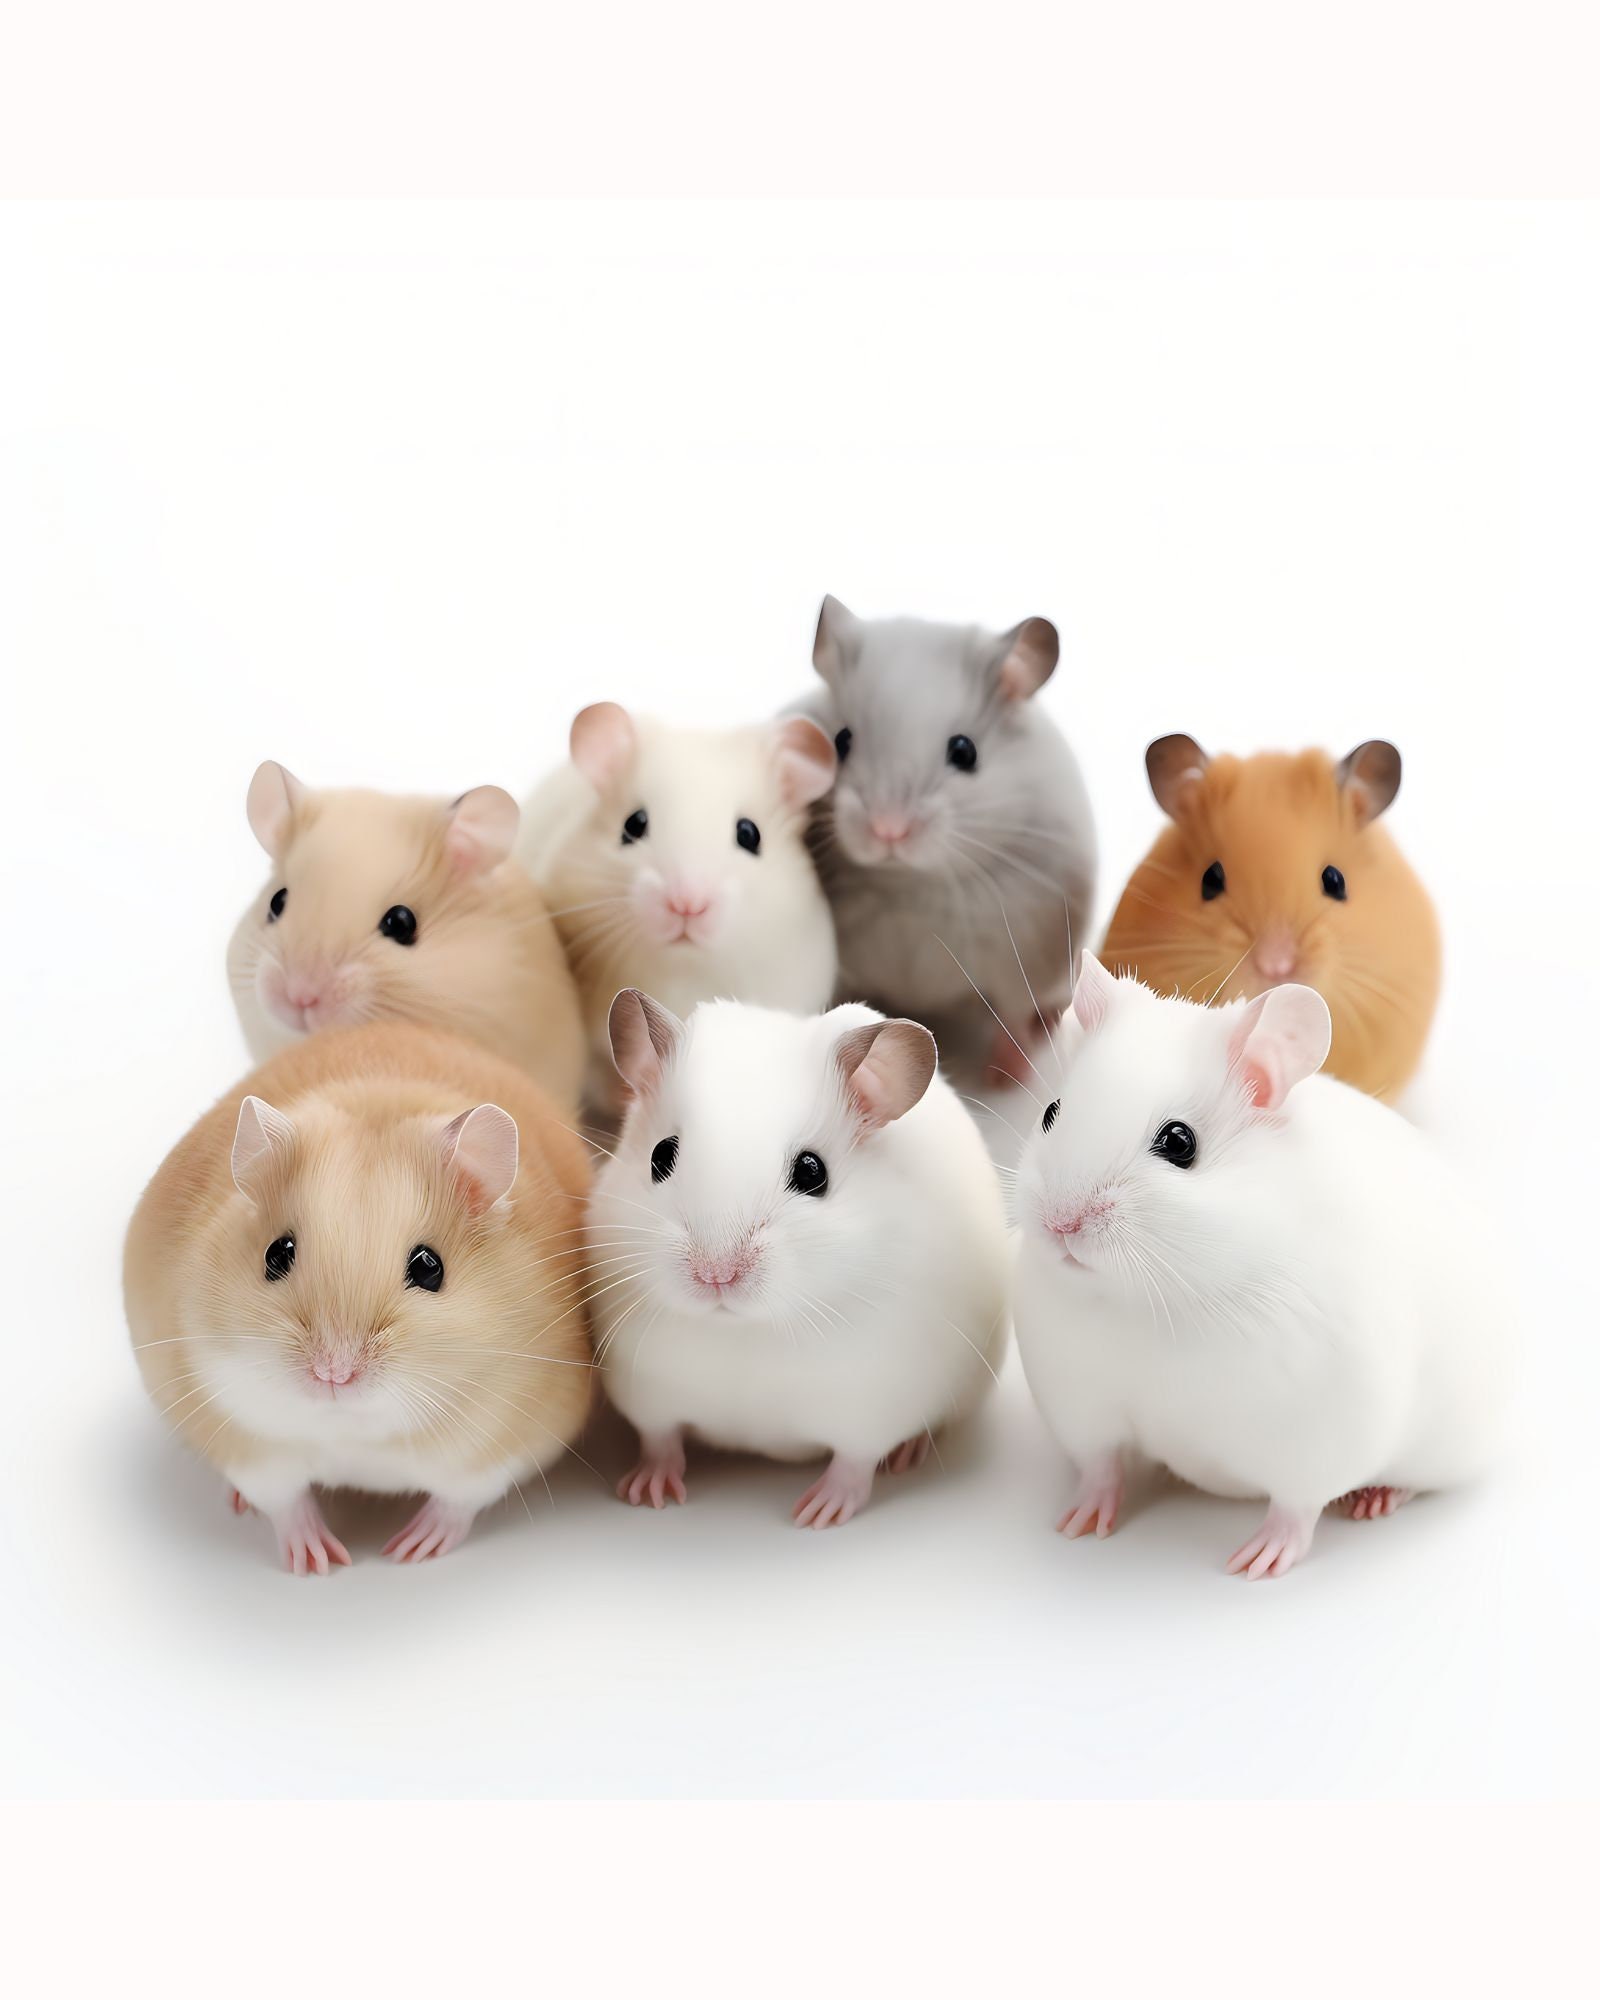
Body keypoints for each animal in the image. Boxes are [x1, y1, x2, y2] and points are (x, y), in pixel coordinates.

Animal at [125, 1022, 594, 1572]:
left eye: (429, 1267)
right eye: (276, 1254)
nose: (334, 1373)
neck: (355, 1429)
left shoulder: (507, 1443)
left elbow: (457, 1503)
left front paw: (409, 1552)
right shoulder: (248, 1444)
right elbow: (285, 1502)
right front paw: (318, 1563)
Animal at [588, 991, 1011, 1526]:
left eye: (813, 1172)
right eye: (660, 1156)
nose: (716, 1275)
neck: (745, 1330)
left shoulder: (873, 1408)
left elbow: (854, 1464)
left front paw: (816, 1514)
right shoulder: (647, 1394)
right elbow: (658, 1440)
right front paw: (644, 1493)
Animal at [793, 596, 1097, 1085]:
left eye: (964, 751)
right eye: (839, 741)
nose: (888, 830)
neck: (908, 883)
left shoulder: (1026, 961)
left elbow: (1013, 1016)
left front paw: (1002, 1075)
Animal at [1012, 954, 1509, 1580]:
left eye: (1180, 1143)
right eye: (1050, 1113)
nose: (1061, 1224)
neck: (1160, 1299)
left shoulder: (1319, 1440)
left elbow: (1296, 1509)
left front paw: (1255, 1563)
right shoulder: (1080, 1404)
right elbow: (1101, 1467)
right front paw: (1076, 1524)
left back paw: (1376, 1499)